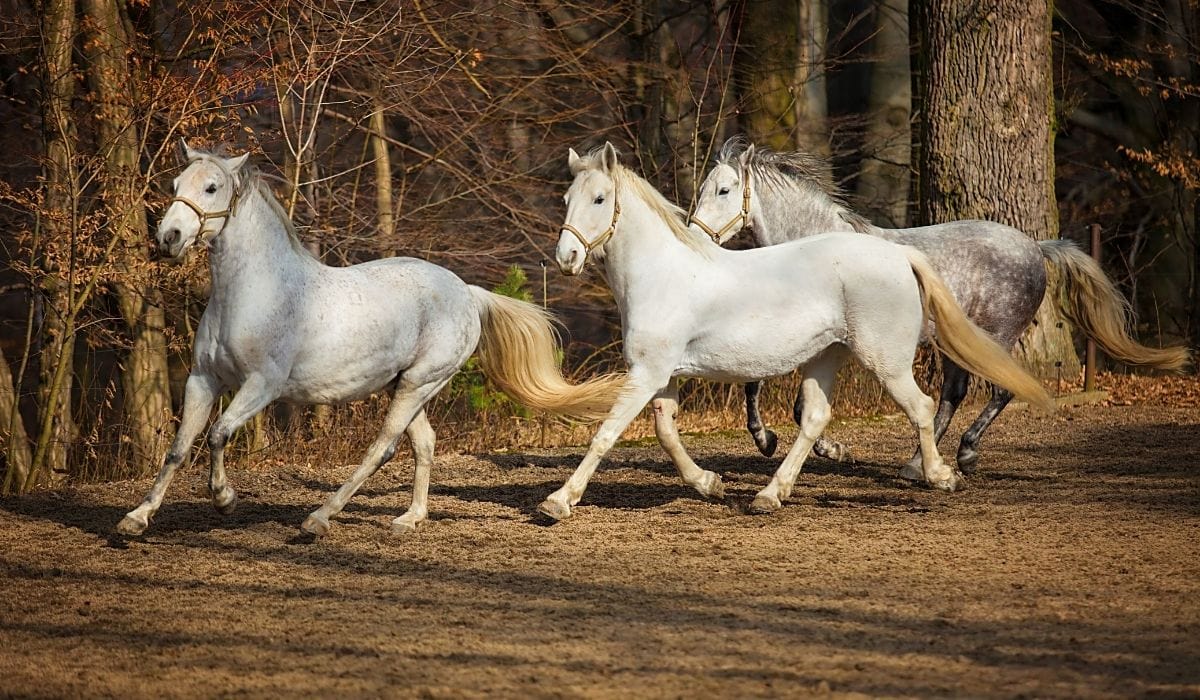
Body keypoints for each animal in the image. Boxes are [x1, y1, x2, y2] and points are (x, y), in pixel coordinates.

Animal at [116, 142, 625, 538]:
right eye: (175, 183)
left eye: (211, 188)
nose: (169, 237)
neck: (251, 292)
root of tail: (465, 291)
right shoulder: (203, 380)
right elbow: (179, 447)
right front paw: (136, 519)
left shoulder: (262, 385)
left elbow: (219, 434)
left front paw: (224, 498)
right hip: (406, 385)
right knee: (424, 443)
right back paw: (410, 519)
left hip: (418, 384)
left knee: (384, 447)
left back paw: (320, 518)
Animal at [539, 143, 1053, 520]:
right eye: (565, 200)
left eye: (599, 199)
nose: (567, 257)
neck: (662, 273)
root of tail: (901, 256)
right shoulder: (664, 375)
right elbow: (666, 433)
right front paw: (709, 484)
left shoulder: (646, 373)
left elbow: (606, 433)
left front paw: (558, 502)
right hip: (827, 356)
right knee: (816, 419)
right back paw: (770, 495)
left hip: (887, 359)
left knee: (926, 405)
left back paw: (938, 473)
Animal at [691, 138, 1190, 476]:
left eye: (725, 191)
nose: (695, 235)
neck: (817, 246)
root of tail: (1036, 248)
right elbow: (758, 386)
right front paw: (772, 441)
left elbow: (790, 402)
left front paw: (817, 448)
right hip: (956, 344)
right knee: (953, 395)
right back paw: (918, 464)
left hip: (996, 336)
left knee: (998, 391)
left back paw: (963, 455)